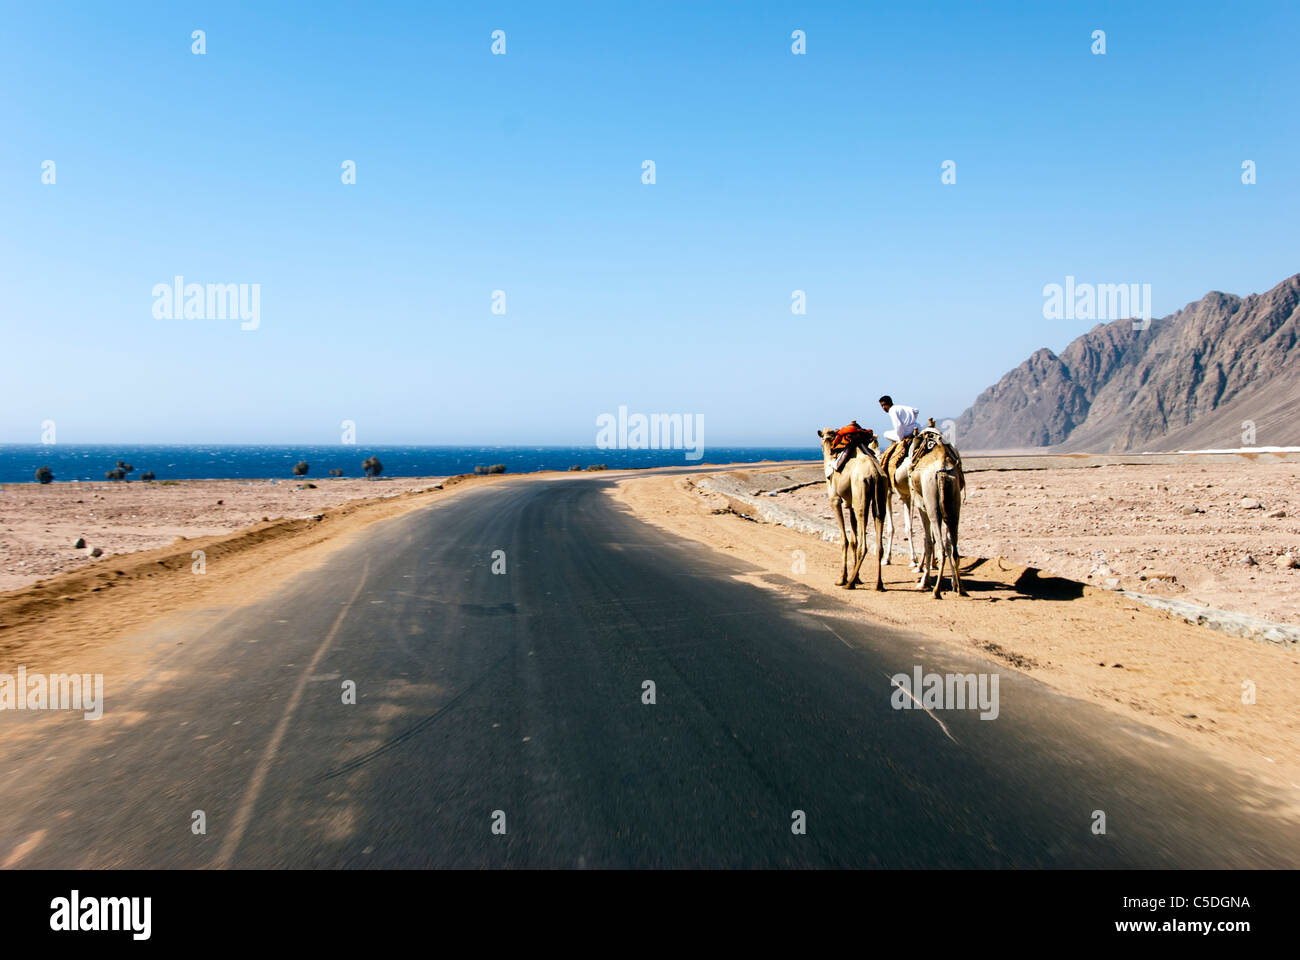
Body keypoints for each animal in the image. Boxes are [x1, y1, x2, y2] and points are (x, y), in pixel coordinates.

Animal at [816, 428, 887, 590]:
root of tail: (874, 473)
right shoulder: (851, 504)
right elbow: (854, 540)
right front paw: (859, 578)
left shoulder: (835, 500)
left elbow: (845, 539)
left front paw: (842, 578)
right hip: (880, 492)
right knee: (879, 530)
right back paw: (878, 584)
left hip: (861, 493)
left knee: (864, 544)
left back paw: (849, 583)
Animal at [908, 428, 967, 598]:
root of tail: (942, 468)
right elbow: (947, 544)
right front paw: (954, 583)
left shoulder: (922, 506)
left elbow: (928, 540)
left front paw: (924, 581)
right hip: (954, 507)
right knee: (953, 548)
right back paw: (961, 589)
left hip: (933, 506)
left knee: (941, 547)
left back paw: (936, 591)